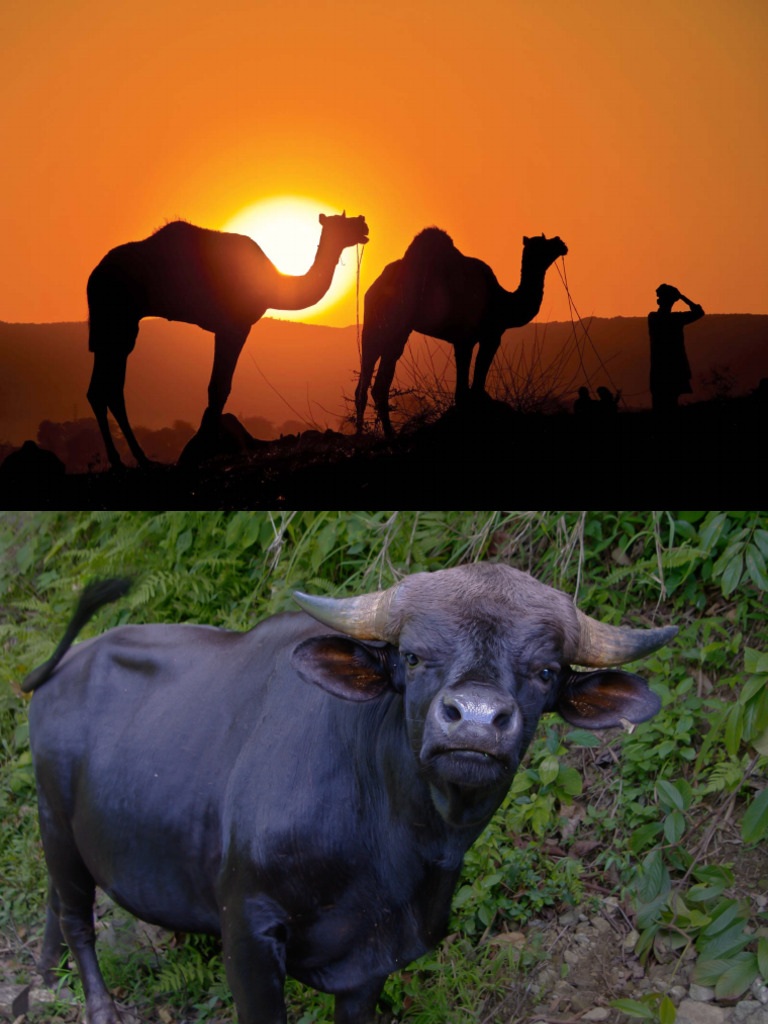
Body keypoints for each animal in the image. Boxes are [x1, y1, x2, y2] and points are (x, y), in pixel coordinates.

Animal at [86, 212, 368, 468]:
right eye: (341, 222)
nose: (363, 223)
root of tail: (93, 276)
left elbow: (218, 387)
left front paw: (203, 447)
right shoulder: (233, 326)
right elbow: (219, 387)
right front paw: (203, 449)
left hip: (116, 325)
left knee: (104, 389)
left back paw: (132, 460)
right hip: (117, 318)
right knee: (107, 387)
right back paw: (131, 460)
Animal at [355, 229, 567, 435]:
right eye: (543, 243)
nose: (561, 242)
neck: (500, 301)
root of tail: (372, 288)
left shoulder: (475, 338)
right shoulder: (479, 337)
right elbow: (471, 379)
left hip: (387, 331)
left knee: (372, 382)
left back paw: (373, 433)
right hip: (388, 326)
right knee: (374, 381)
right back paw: (381, 434)